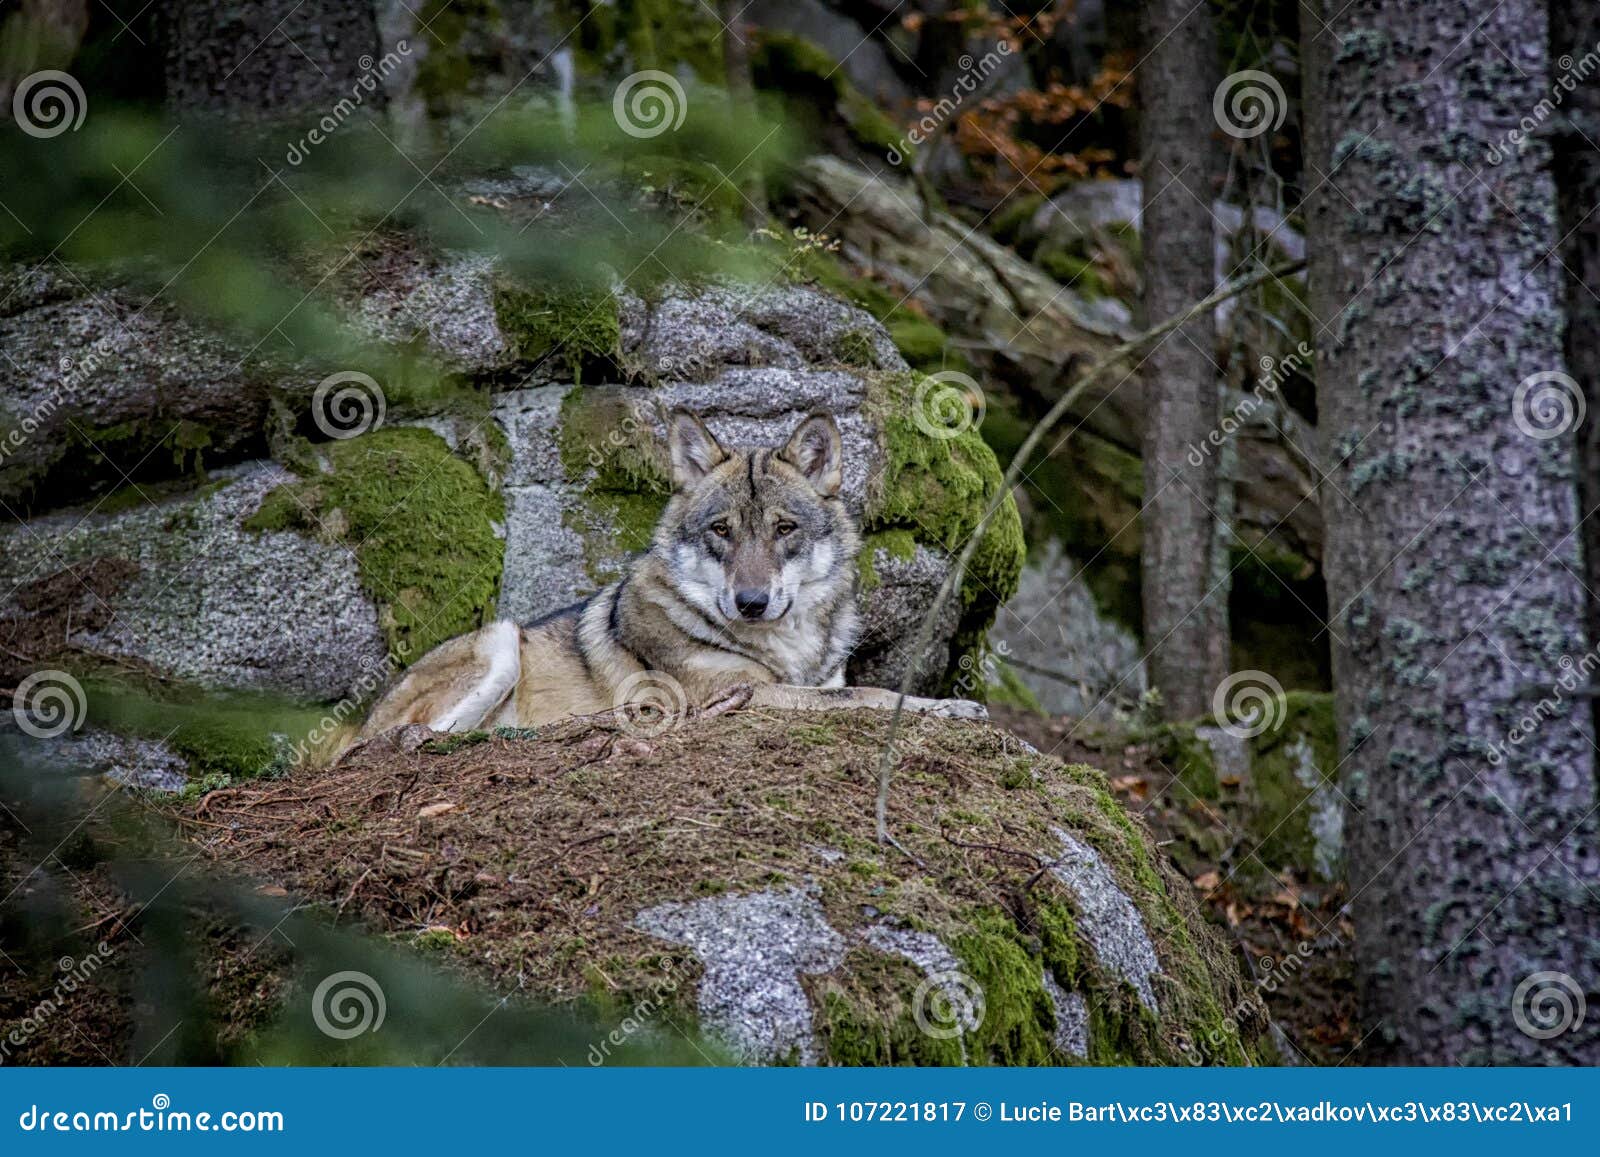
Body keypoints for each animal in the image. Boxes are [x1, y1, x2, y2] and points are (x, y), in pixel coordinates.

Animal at [353, 409, 983, 745]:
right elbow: (868, 695)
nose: (751, 602)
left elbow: (857, 690)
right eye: (722, 530)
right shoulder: (738, 695)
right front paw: (949, 710)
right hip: (502, 642)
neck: (785, 651)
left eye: (783, 528)